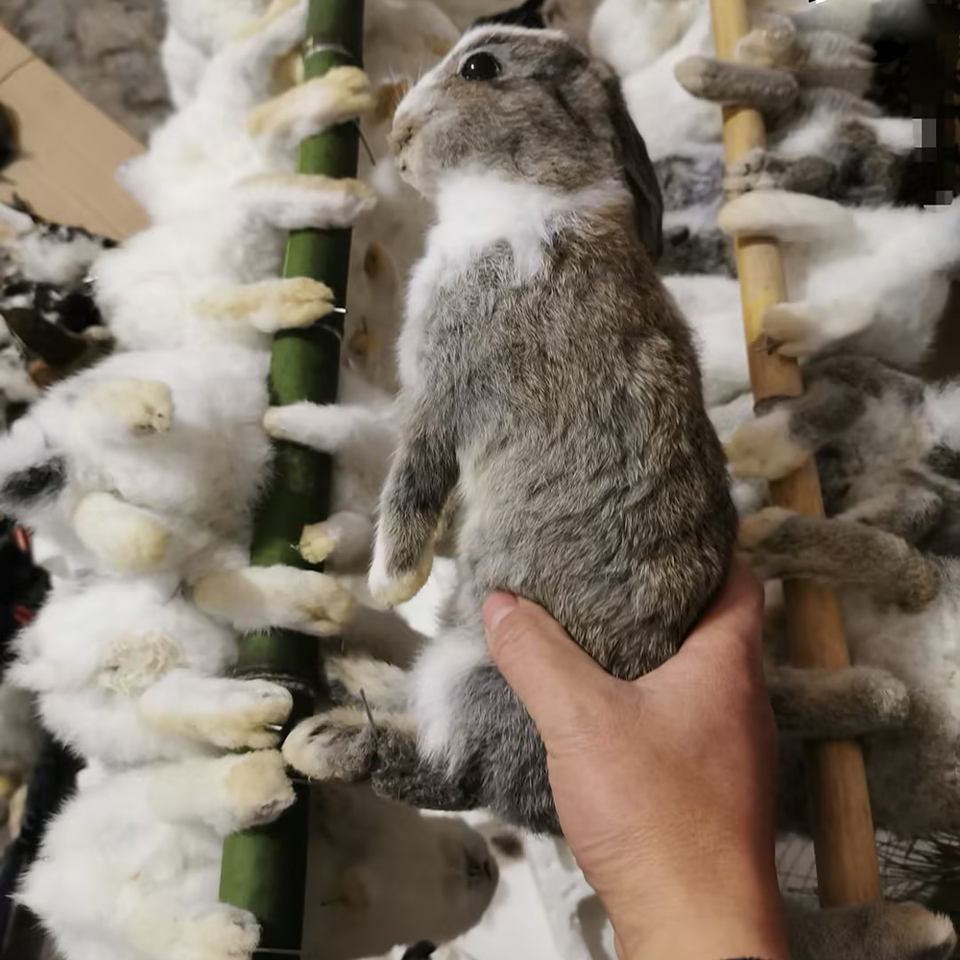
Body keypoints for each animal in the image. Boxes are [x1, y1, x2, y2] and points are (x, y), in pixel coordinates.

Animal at [280, 25, 736, 834]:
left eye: (480, 67)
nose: (398, 136)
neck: (529, 191)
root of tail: (536, 804)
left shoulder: (446, 387)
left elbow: (414, 481)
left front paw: (392, 584)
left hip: (479, 679)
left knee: (448, 773)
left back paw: (326, 741)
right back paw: (353, 672)